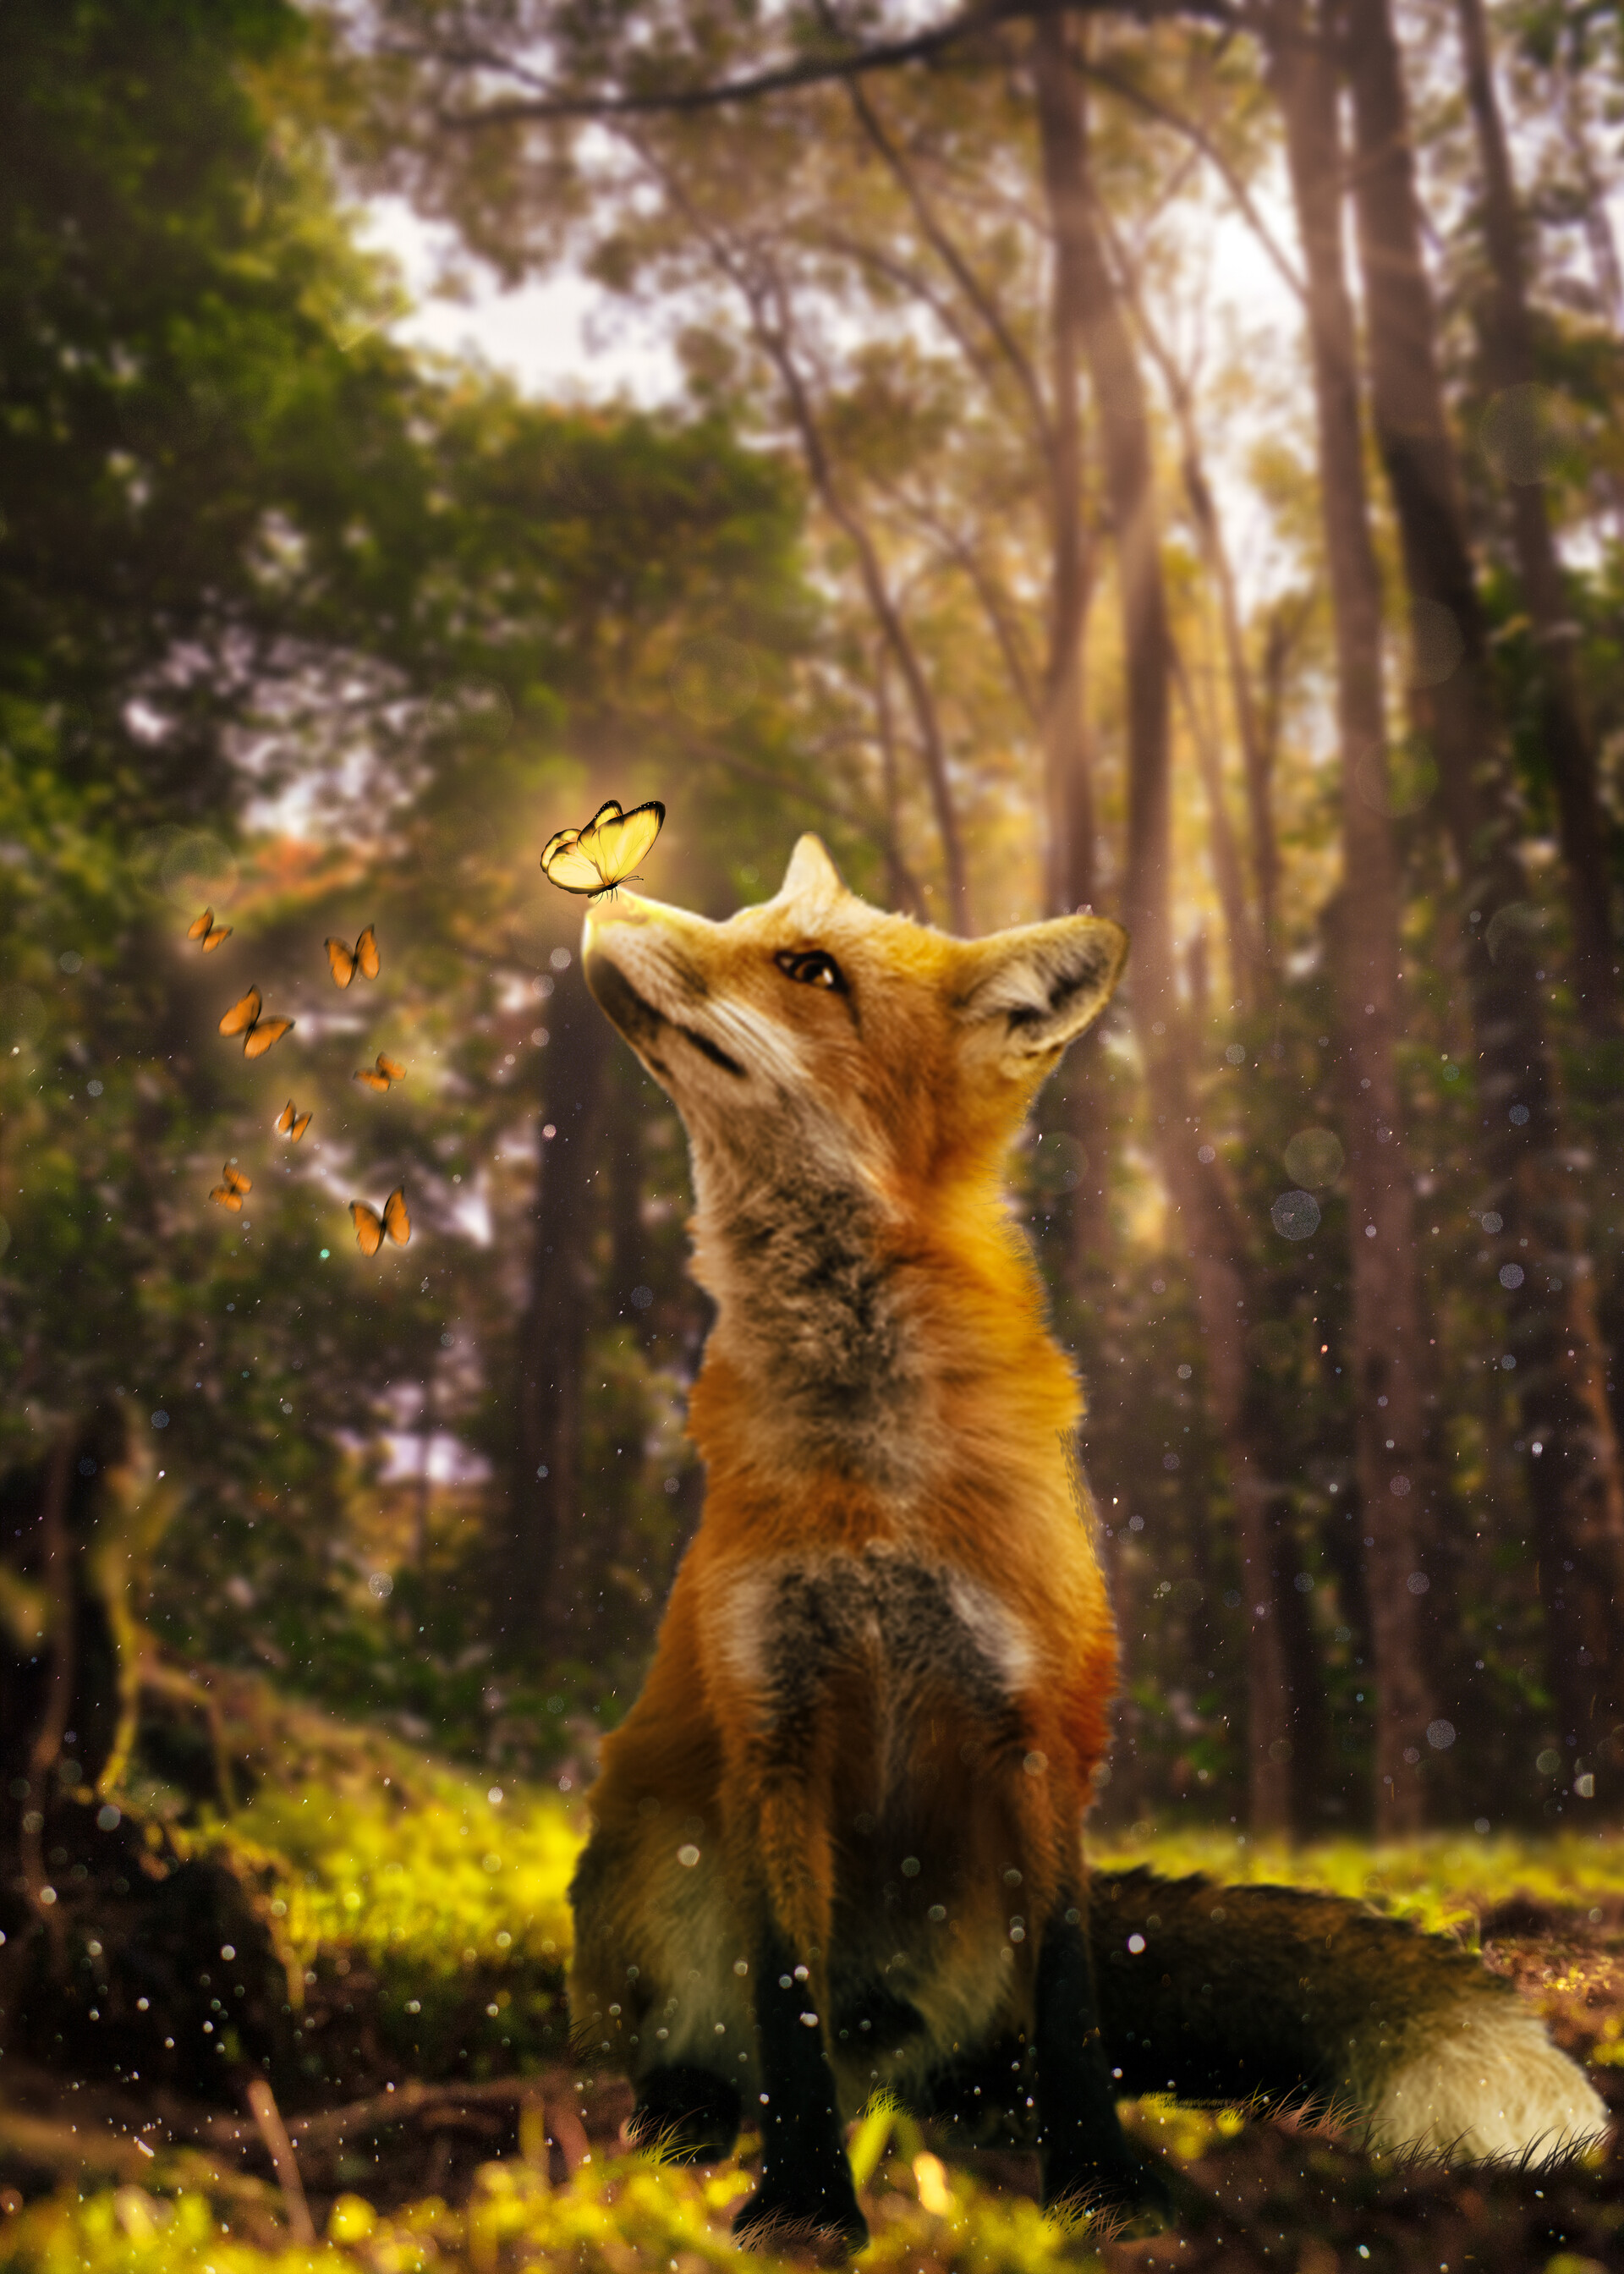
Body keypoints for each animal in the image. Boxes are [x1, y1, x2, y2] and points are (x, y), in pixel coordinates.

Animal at [567, 834, 1607, 2249]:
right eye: (745, 916)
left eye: (808, 966)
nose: (601, 895)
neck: (873, 1476)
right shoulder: (772, 1725)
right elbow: (785, 1996)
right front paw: (807, 2198)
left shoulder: (1036, 1728)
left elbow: (1072, 1991)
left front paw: (1101, 2183)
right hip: (656, 1858)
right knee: (727, 2040)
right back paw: (693, 2114)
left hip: (961, 1913)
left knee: (983, 2044)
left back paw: (983, 2114)